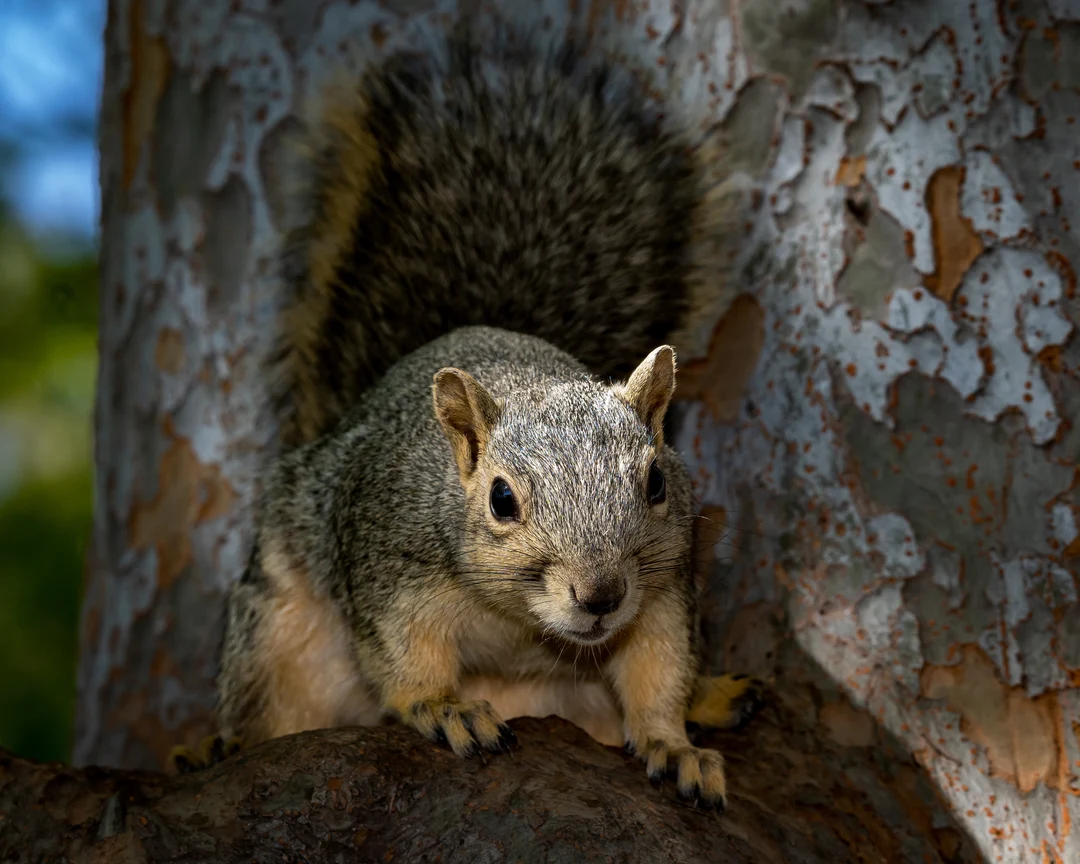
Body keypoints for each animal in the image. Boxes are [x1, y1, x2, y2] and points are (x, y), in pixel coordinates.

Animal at [170, 22, 763, 812]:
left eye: (657, 484)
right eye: (502, 499)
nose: (601, 596)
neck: (521, 626)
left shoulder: (664, 584)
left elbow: (657, 667)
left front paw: (674, 743)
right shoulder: (390, 562)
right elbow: (403, 653)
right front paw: (441, 707)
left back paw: (712, 697)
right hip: (281, 632)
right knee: (274, 713)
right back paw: (214, 747)